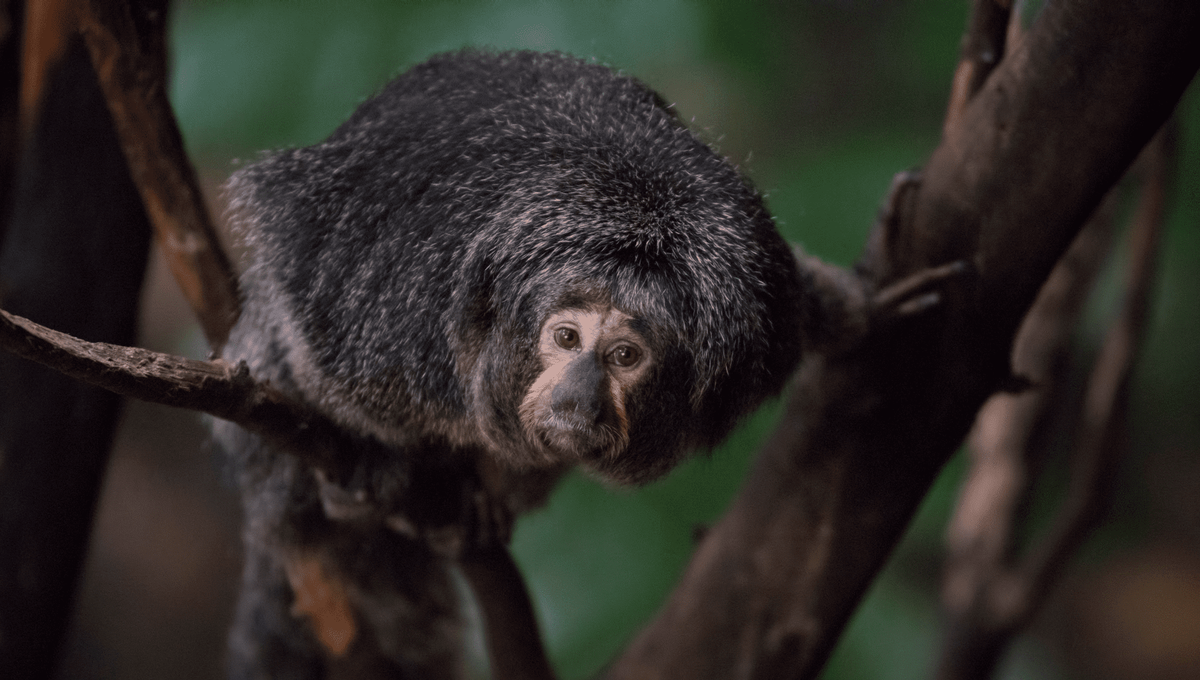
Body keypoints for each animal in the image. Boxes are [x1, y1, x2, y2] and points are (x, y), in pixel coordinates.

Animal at [214, 48, 814, 679]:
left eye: (625, 356)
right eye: (567, 338)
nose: (578, 399)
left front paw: (494, 489)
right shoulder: (399, 300)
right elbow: (310, 335)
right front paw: (375, 456)